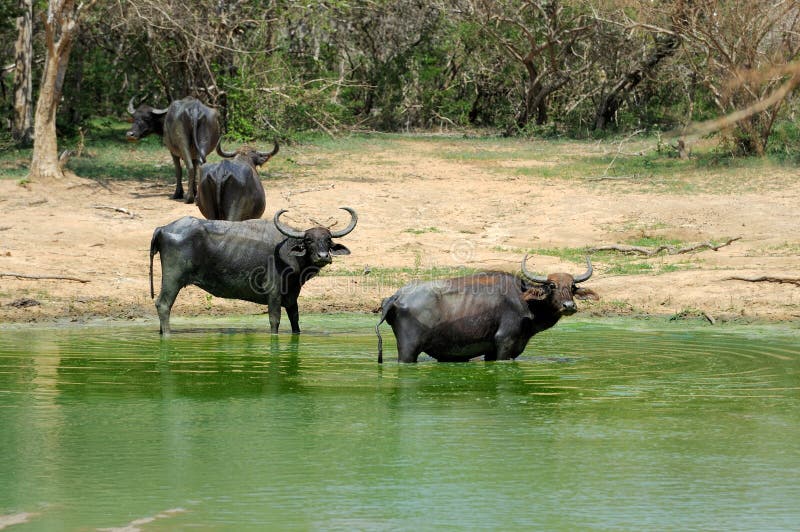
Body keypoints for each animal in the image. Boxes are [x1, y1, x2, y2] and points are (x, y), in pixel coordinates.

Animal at [149, 207, 357, 335]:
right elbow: (274, 320)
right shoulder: (273, 294)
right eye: (308, 240)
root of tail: (162, 229)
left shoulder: (292, 297)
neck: (287, 253)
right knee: (163, 304)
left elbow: (295, 321)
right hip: (173, 279)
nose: (323, 256)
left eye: (328, 240)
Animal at [375, 256, 599, 363]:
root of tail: (397, 296)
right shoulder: (504, 343)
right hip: (408, 350)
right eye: (552, 286)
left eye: (573, 287)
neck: (524, 300)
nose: (568, 306)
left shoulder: (492, 350)